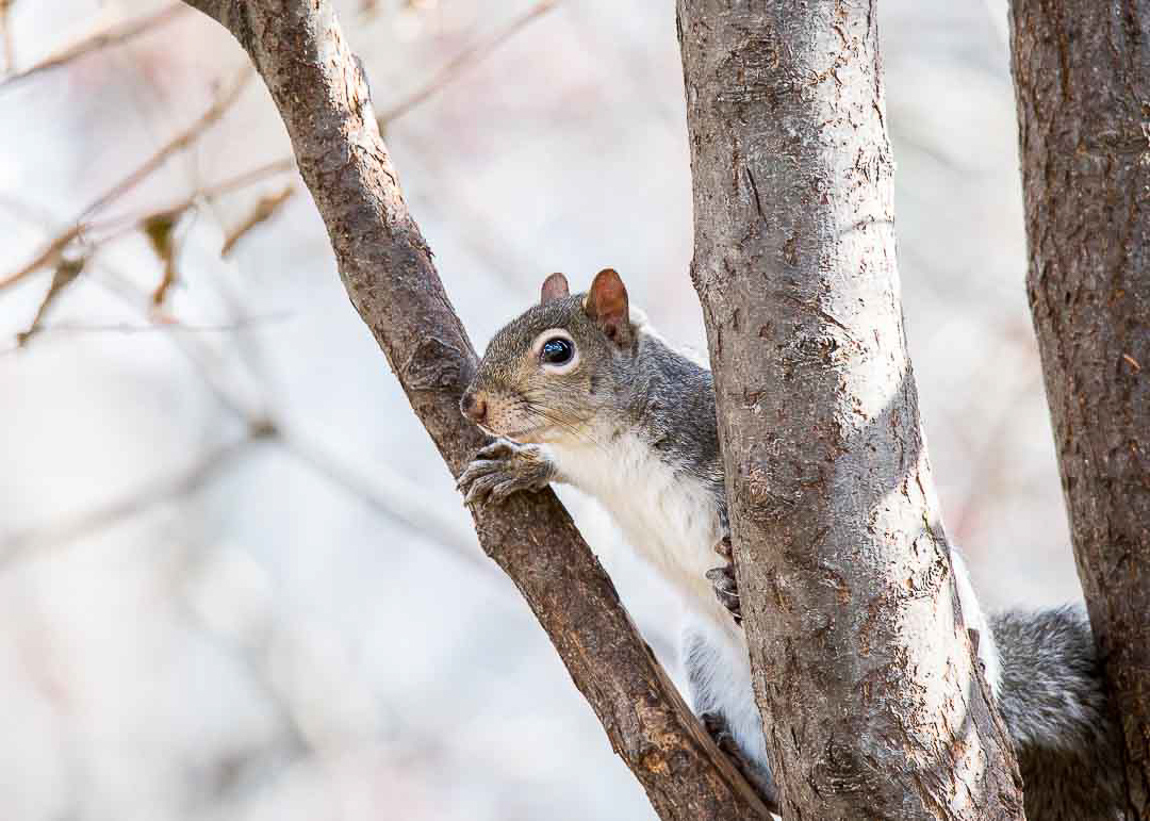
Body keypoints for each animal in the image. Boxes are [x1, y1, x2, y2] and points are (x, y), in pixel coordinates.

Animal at [457, 268, 1126, 819]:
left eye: (558, 351)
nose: (471, 403)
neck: (602, 445)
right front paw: (516, 466)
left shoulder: (709, 429)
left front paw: (731, 577)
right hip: (711, 663)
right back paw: (752, 769)